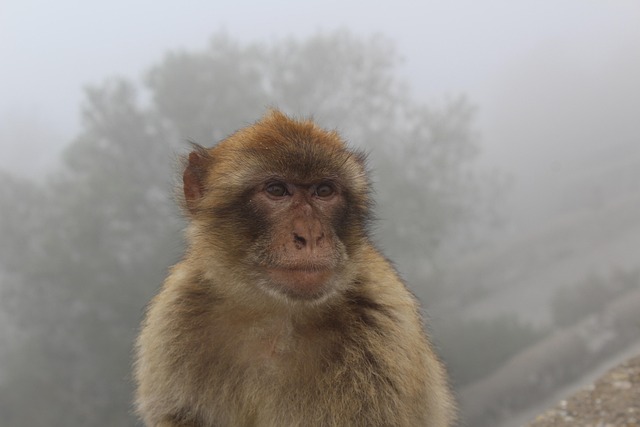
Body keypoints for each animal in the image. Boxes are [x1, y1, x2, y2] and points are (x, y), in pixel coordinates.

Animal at [134, 110, 456, 426]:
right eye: (277, 190)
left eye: (324, 191)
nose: (310, 235)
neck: (276, 312)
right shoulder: (175, 319)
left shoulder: (384, 330)